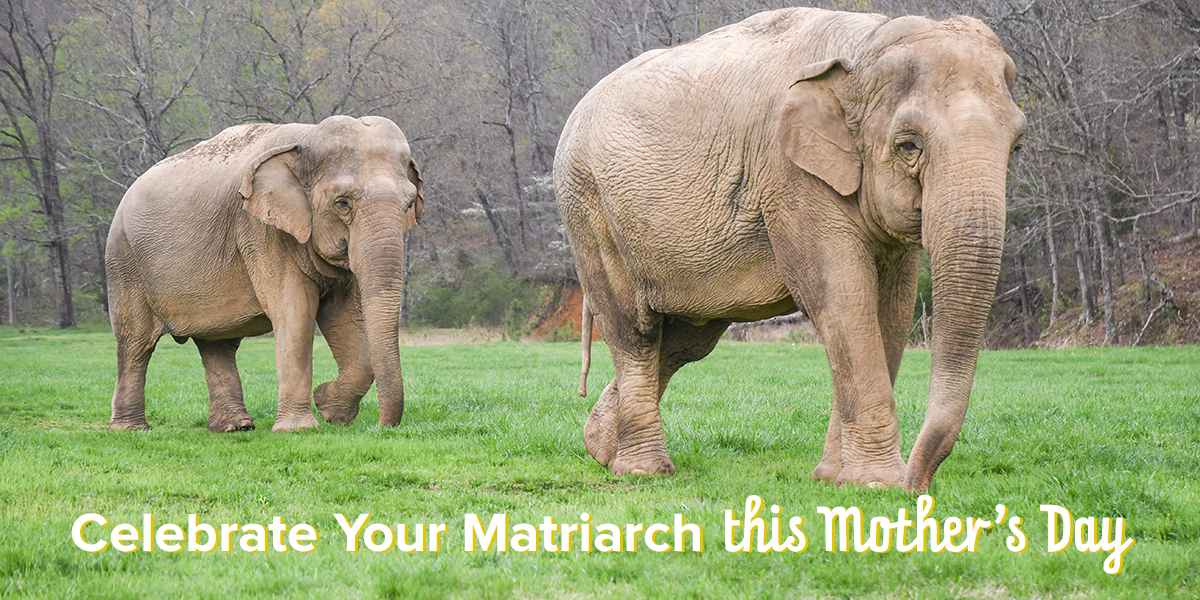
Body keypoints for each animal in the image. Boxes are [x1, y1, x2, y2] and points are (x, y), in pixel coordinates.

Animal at [105, 115, 423, 432]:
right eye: (343, 203)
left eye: (409, 204)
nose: (381, 427)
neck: (305, 139)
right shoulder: (260, 231)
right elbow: (296, 312)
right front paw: (301, 428)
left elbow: (343, 315)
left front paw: (330, 410)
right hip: (124, 261)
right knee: (136, 343)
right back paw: (131, 429)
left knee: (217, 344)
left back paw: (235, 427)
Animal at [556, 8, 1026, 491]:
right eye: (908, 145)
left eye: (1017, 145)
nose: (918, 486)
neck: (864, 45)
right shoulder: (792, 177)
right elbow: (842, 298)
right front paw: (875, 484)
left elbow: (891, 308)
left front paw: (834, 479)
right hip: (589, 209)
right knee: (636, 333)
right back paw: (644, 471)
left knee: (685, 341)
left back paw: (600, 448)